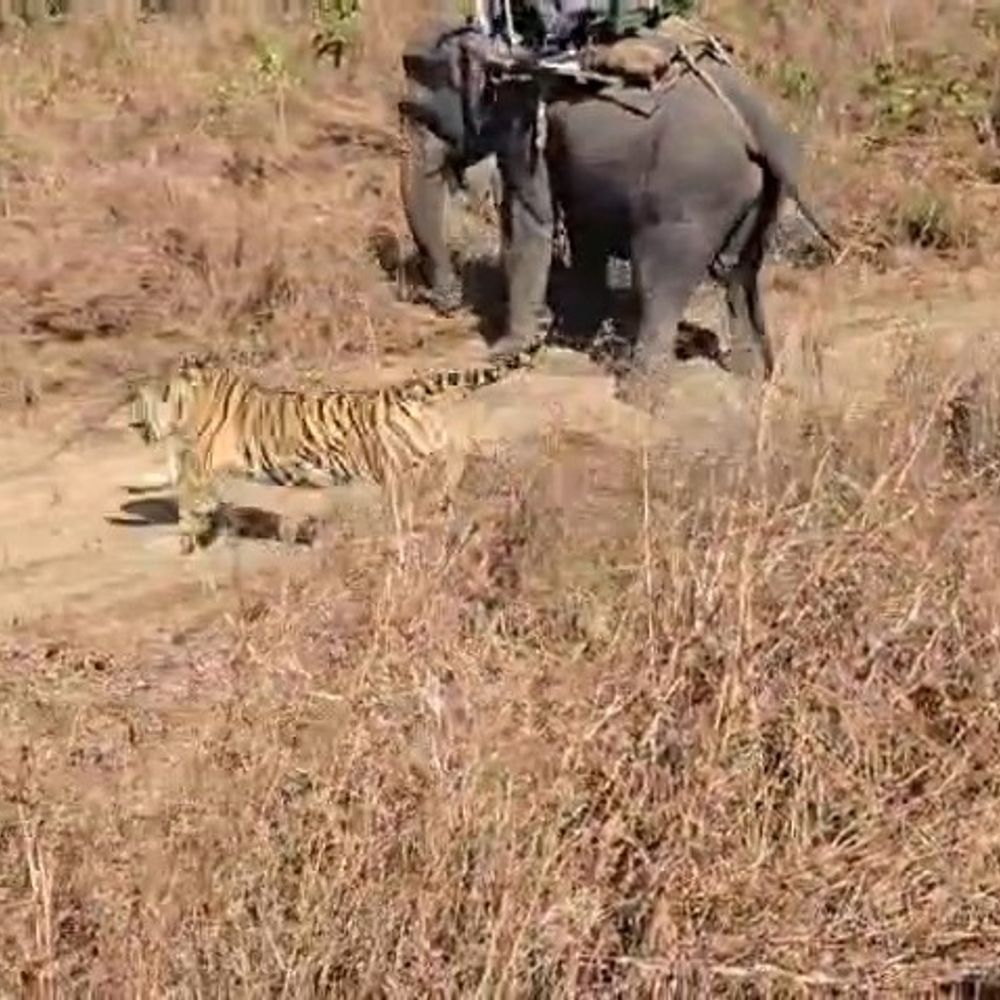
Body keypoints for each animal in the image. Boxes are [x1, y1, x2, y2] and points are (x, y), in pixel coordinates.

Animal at [126, 340, 544, 554]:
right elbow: (177, 484)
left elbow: (186, 498)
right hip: (424, 441)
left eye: (142, 395)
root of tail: (402, 389)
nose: (130, 414)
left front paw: (186, 535)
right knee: (458, 450)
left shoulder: (199, 462)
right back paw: (450, 497)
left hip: (393, 464)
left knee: (432, 479)